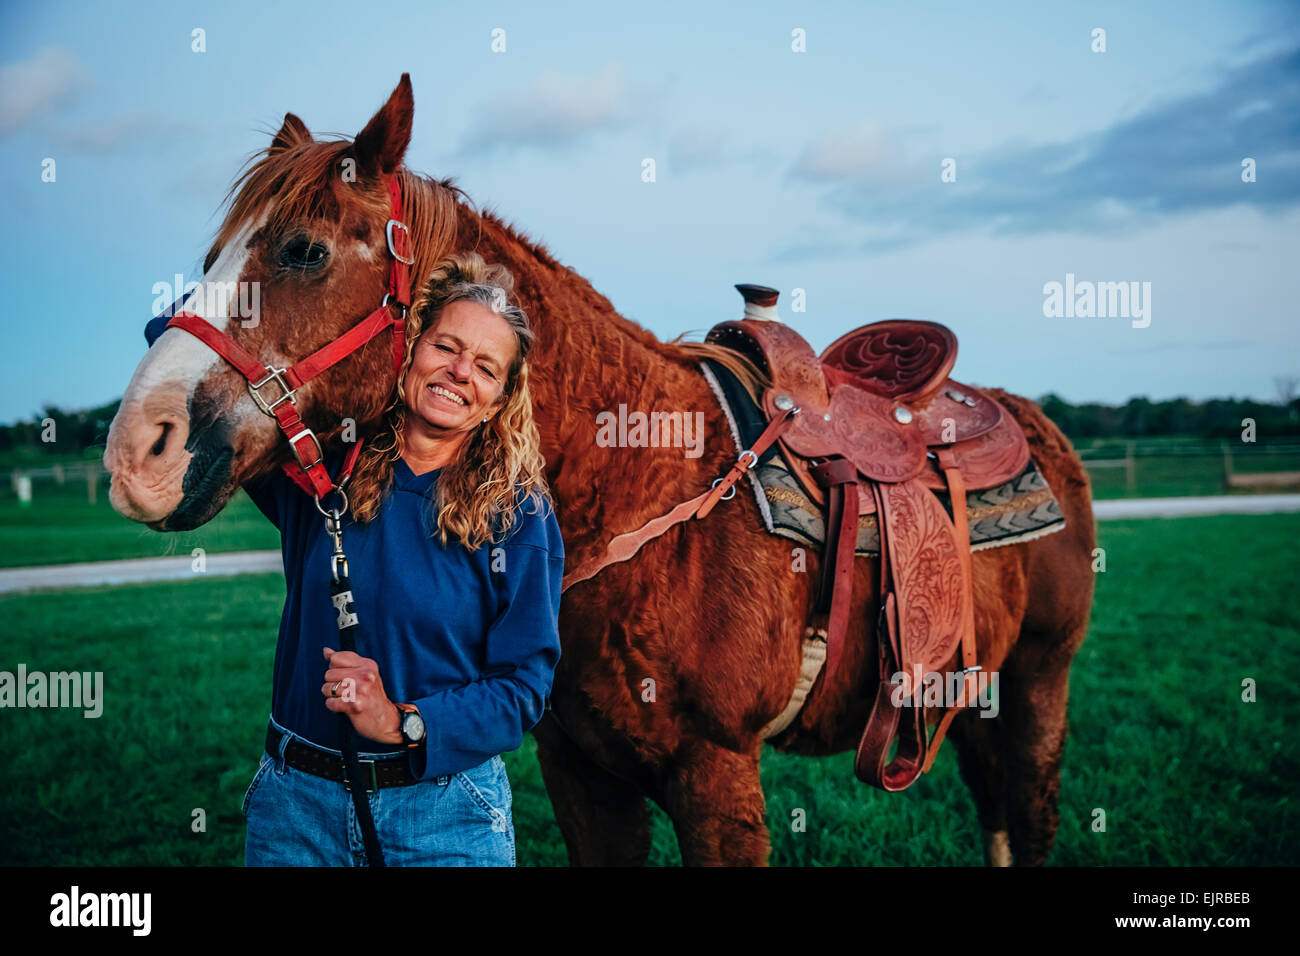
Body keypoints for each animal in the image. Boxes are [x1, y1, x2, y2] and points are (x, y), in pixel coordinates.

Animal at [103, 75, 1096, 866]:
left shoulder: (716, 776)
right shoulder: (581, 772)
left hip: (1039, 687)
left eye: (304, 250)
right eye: (208, 261)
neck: (637, 494)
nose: (138, 450)